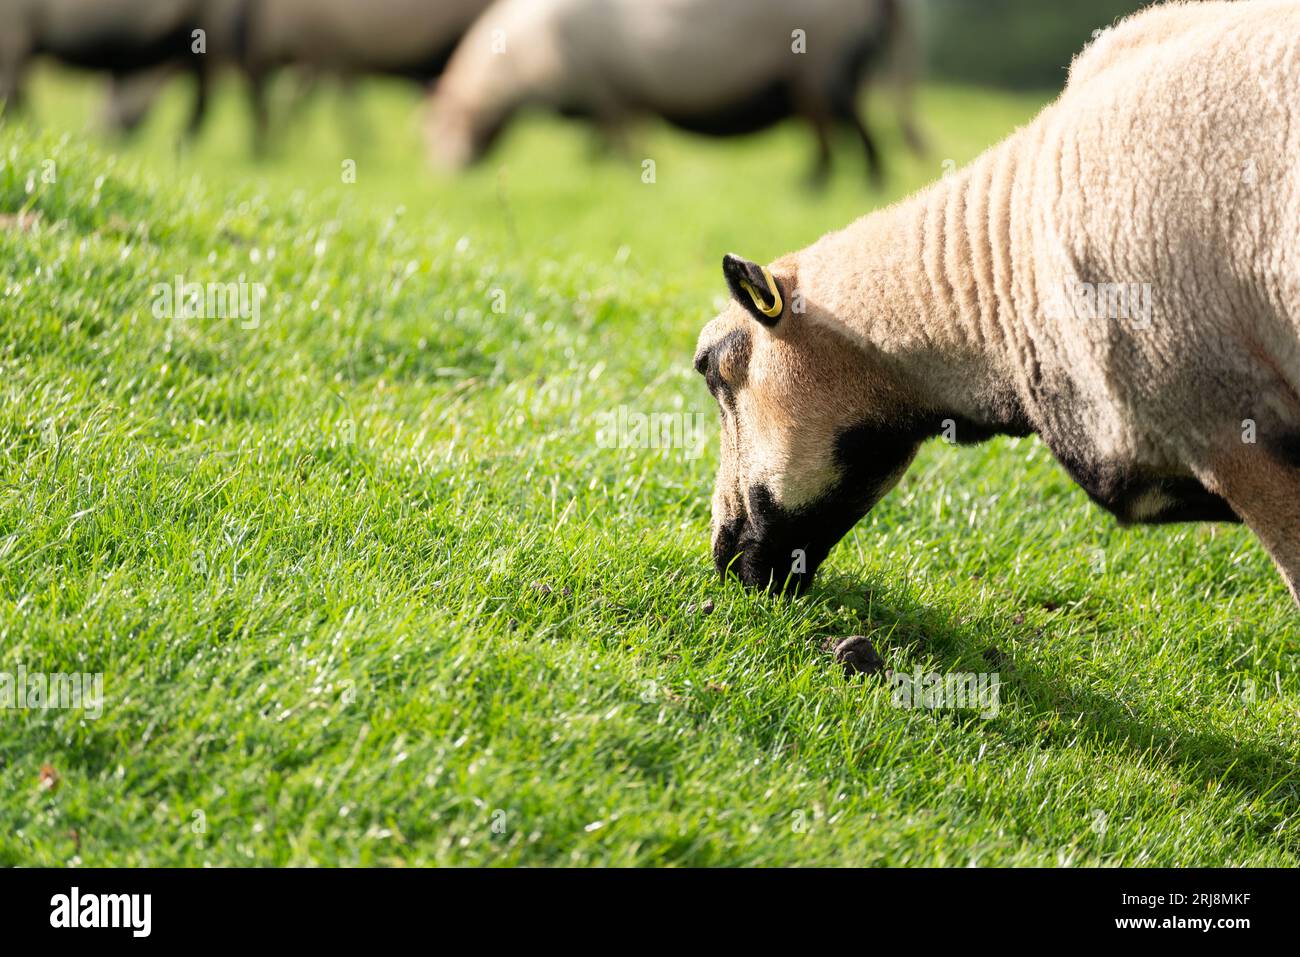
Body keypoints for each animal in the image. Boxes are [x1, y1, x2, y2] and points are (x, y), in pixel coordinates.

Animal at [427, 0, 925, 186]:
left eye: (444, 127)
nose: (443, 175)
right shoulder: (620, 97)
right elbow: (615, 138)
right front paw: (606, 167)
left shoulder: (605, 92)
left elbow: (617, 138)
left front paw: (620, 171)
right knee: (832, 128)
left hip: (821, 61)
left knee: (849, 125)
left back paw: (850, 183)